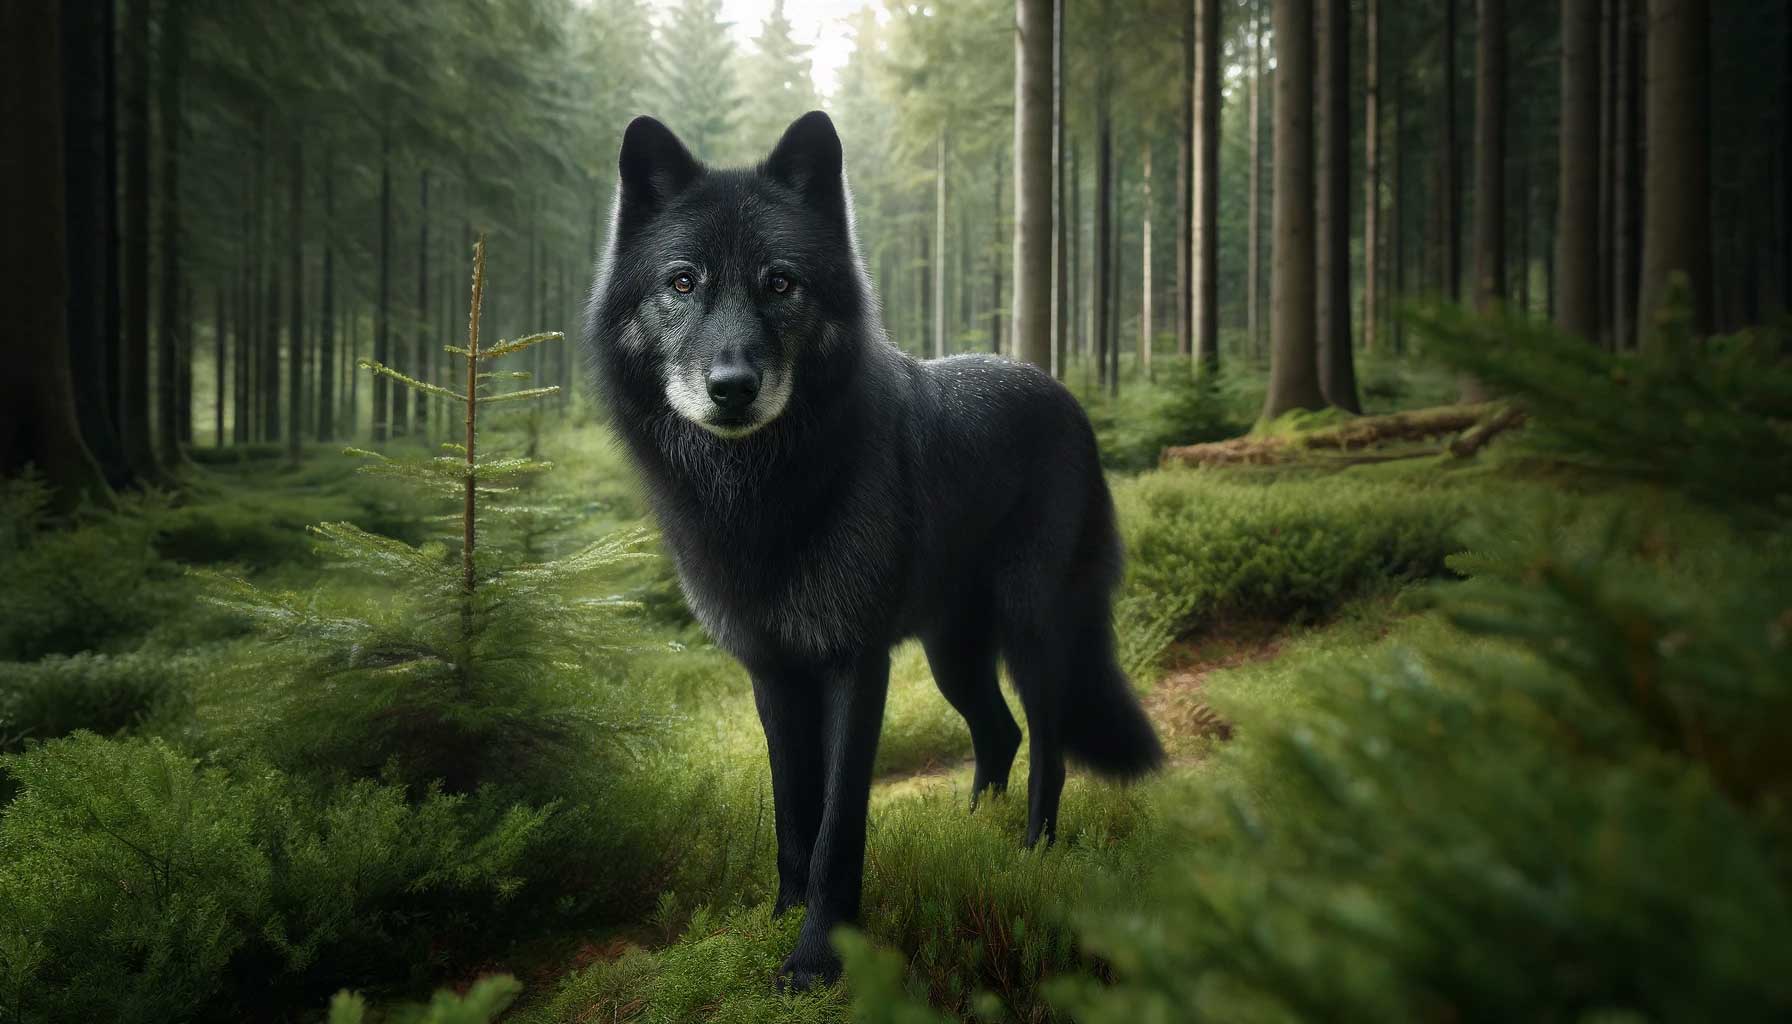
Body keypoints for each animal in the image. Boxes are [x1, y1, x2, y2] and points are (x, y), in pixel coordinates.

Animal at [583, 111, 1163, 989]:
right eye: (683, 283)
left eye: (780, 284)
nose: (732, 388)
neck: (762, 501)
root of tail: (1062, 394)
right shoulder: (773, 672)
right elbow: (794, 817)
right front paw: (778, 921)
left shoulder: (855, 664)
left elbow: (836, 829)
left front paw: (819, 958)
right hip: (953, 655)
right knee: (1000, 734)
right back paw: (970, 835)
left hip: (1031, 636)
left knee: (1048, 749)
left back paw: (1030, 858)